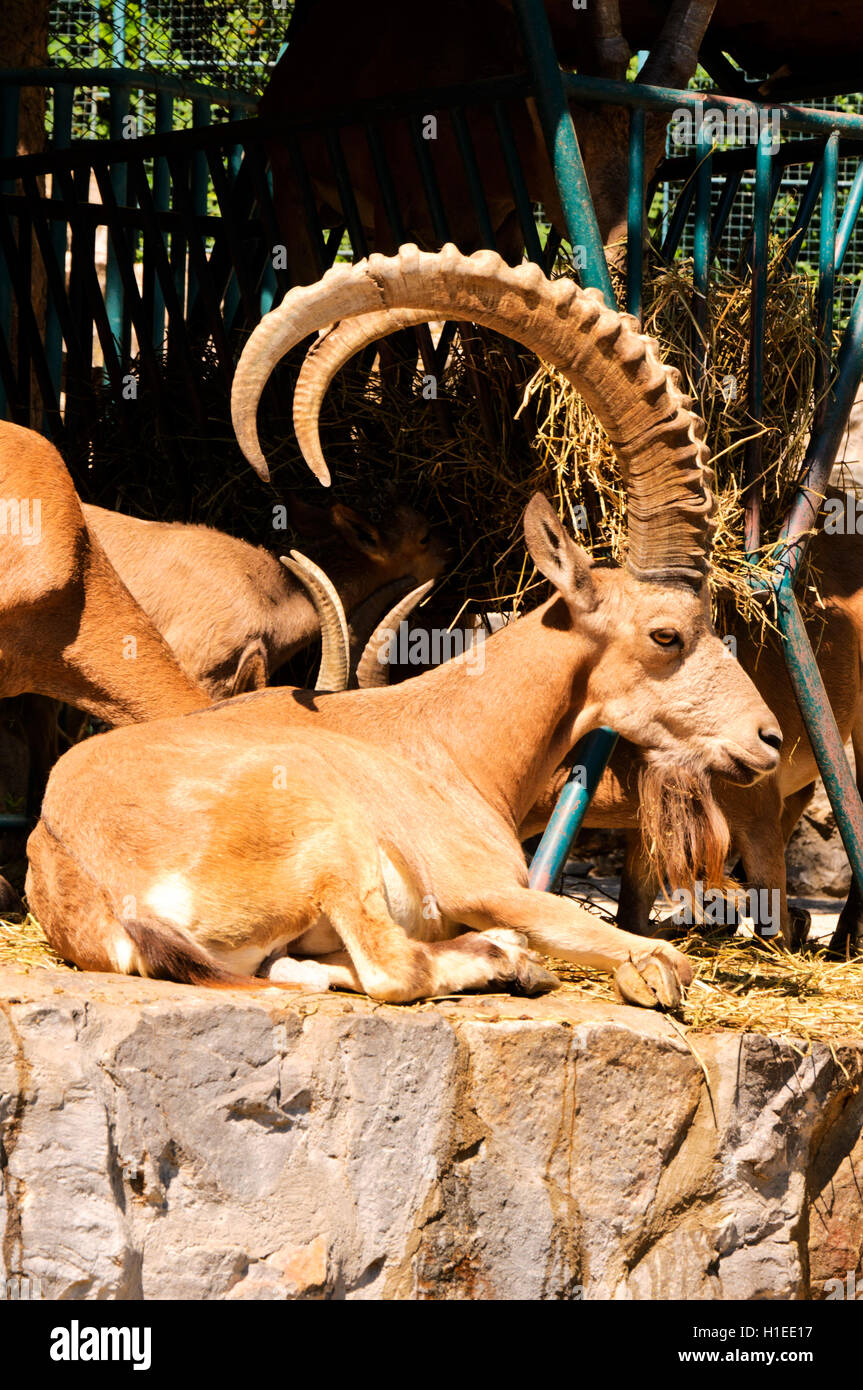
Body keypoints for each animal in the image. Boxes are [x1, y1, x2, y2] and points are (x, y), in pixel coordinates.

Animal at [26, 246, 782, 1009]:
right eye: (666, 634)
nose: (768, 738)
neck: (449, 742)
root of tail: (110, 886)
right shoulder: (482, 883)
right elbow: (656, 957)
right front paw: (617, 967)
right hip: (332, 833)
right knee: (394, 968)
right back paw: (507, 959)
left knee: (303, 968)